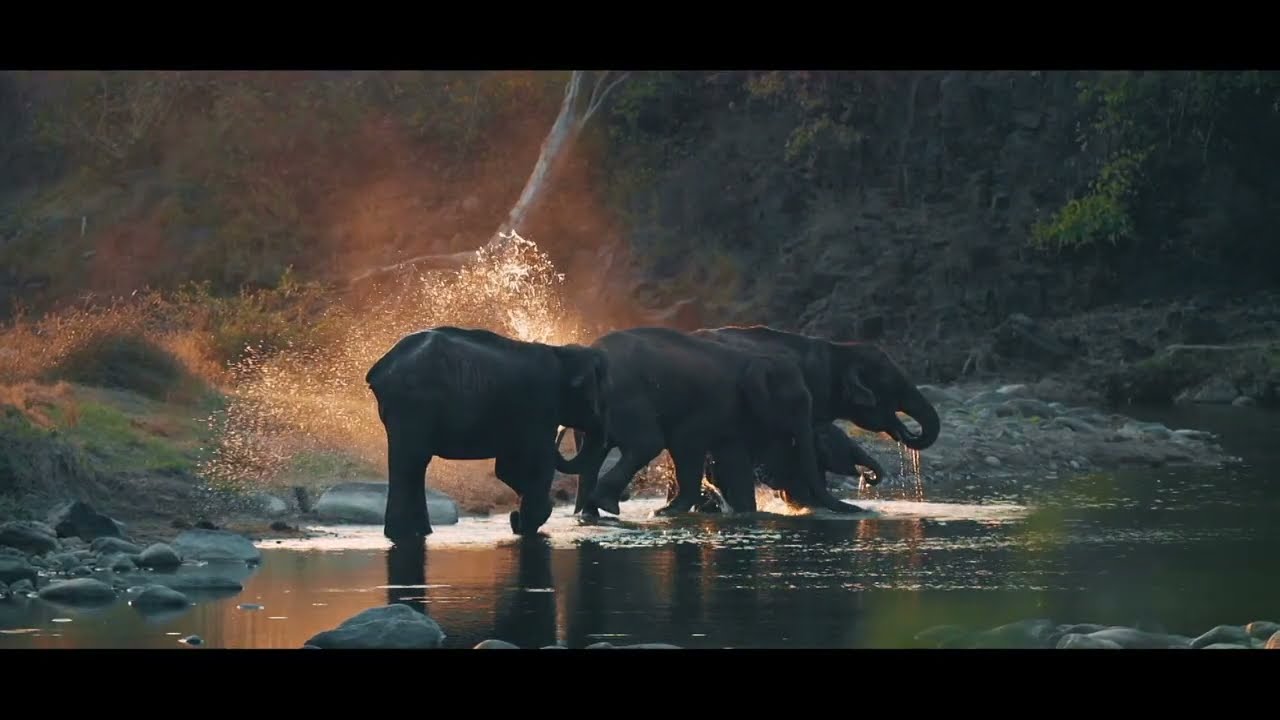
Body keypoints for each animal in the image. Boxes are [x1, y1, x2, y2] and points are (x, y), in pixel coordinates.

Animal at [365, 326, 611, 543]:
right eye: (595, 402)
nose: (513, 518)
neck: (560, 353)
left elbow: (507, 468)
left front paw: (522, 523)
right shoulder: (540, 408)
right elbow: (537, 462)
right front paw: (529, 523)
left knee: (413, 465)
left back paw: (417, 533)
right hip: (414, 405)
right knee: (412, 461)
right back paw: (402, 535)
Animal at [552, 326, 855, 518]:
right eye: (799, 403)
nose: (858, 510)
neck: (753, 358)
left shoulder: (730, 408)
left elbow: (729, 454)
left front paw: (743, 514)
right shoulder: (711, 405)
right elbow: (682, 444)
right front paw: (664, 513)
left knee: (595, 453)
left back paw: (588, 513)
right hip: (626, 396)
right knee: (643, 444)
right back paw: (603, 507)